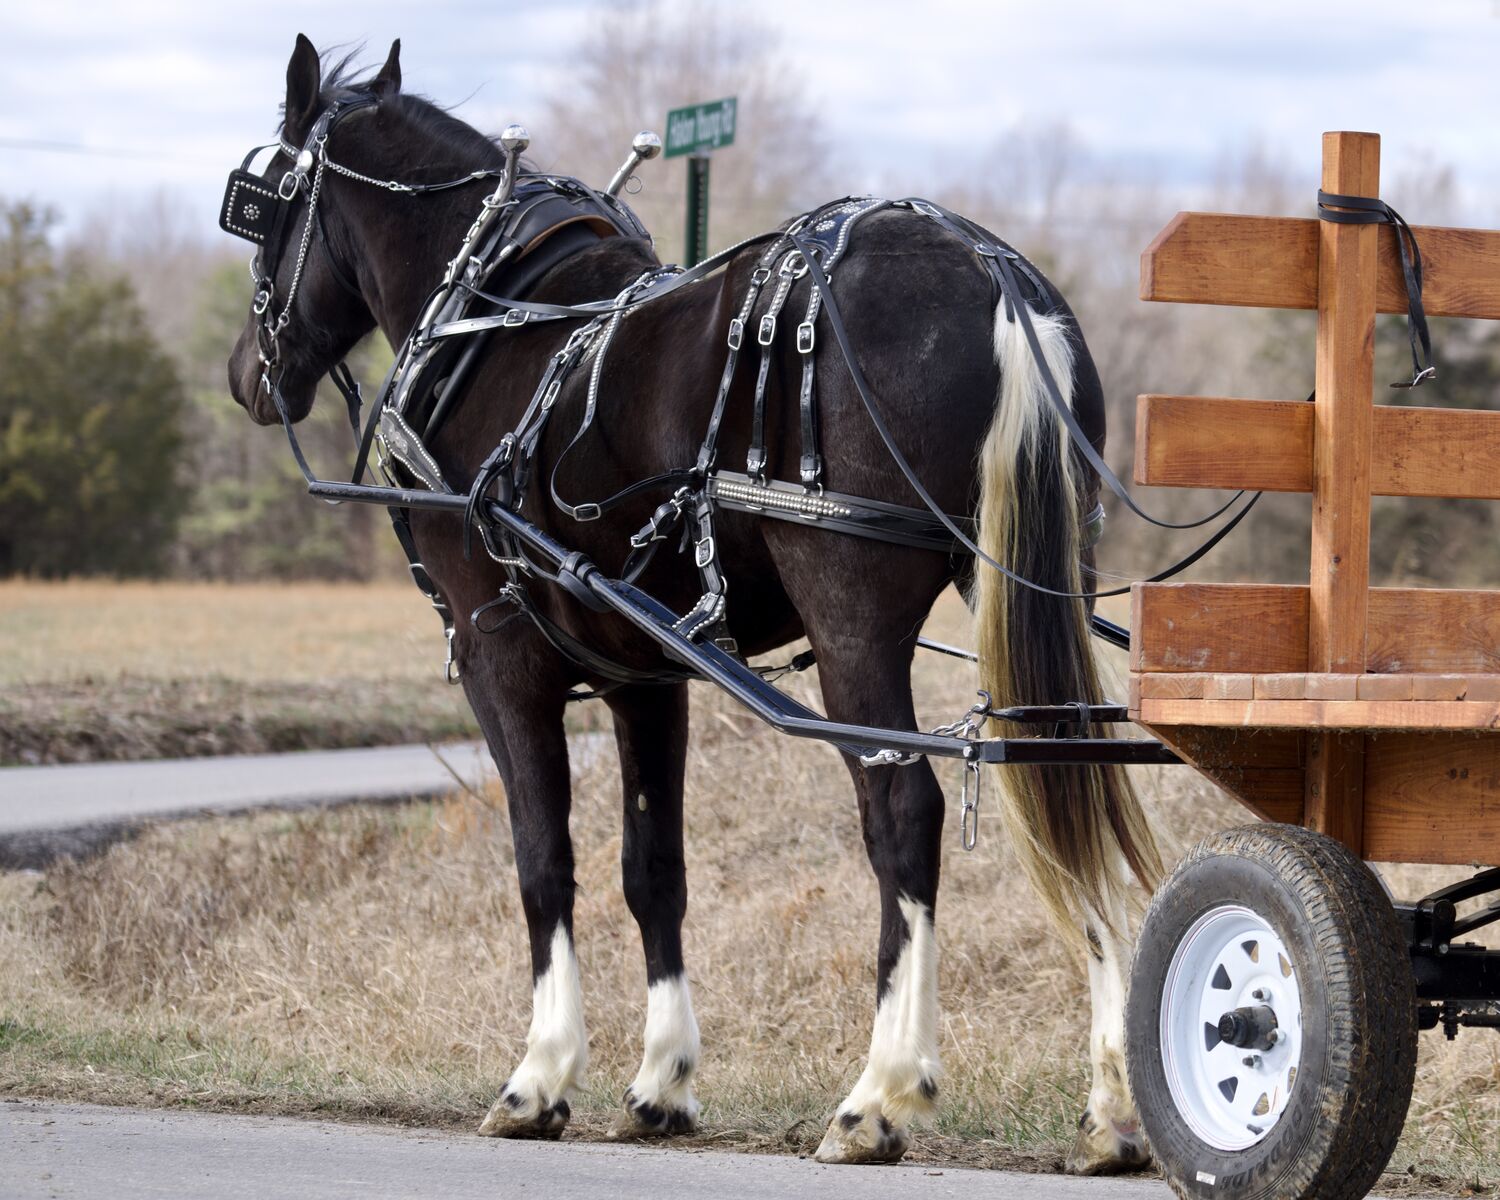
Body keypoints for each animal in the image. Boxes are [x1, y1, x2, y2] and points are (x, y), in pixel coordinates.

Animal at [226, 35, 1162, 1173]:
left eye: (259, 203)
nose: (246, 374)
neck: (492, 316)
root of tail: (990, 269)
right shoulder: (647, 675)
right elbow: (653, 868)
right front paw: (662, 1080)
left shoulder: (502, 659)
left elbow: (544, 861)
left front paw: (541, 1076)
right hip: (1036, 591)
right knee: (1068, 779)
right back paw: (1110, 1105)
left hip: (855, 617)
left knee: (905, 812)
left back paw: (882, 1091)